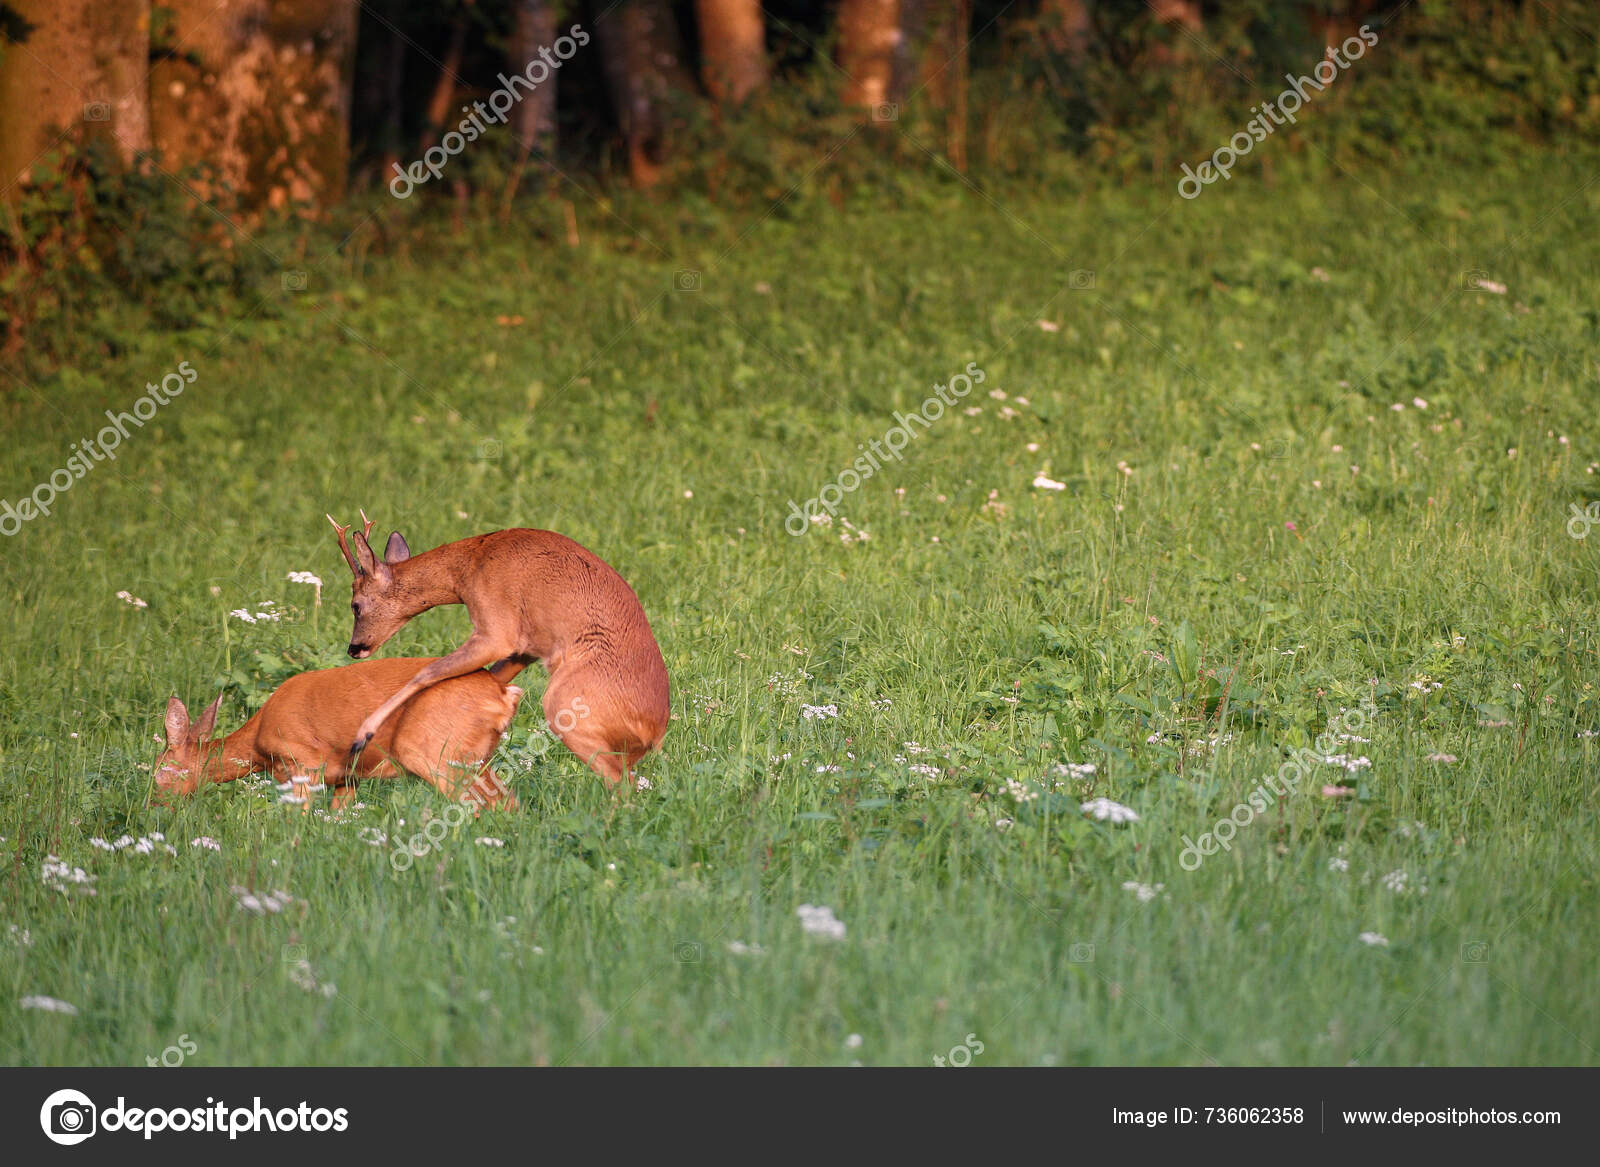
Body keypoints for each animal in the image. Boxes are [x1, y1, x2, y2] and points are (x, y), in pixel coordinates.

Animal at [154, 657, 524, 810]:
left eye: (159, 773)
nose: (155, 806)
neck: (259, 742)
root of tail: (503, 692)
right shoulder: (347, 777)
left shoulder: (304, 761)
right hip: (476, 756)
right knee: (508, 802)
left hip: (433, 750)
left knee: (473, 806)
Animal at [326, 512, 669, 788]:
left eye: (355, 605)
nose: (354, 648)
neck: (468, 568)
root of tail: (654, 731)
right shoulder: (527, 647)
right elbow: (489, 677)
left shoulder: (496, 629)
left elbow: (427, 671)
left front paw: (362, 736)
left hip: (564, 705)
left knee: (622, 784)